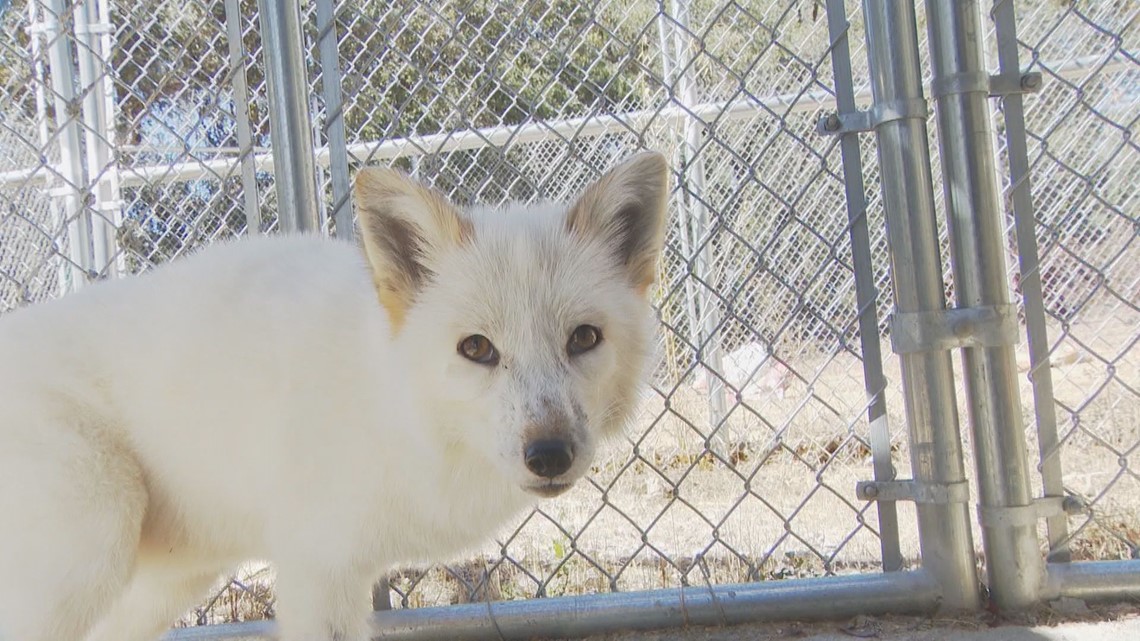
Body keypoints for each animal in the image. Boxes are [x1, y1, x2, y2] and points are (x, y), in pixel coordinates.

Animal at [0, 151, 670, 641]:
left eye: (584, 338)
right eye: (477, 348)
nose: (550, 454)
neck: (391, 402)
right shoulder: (318, 571)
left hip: (163, 583)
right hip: (92, 547)